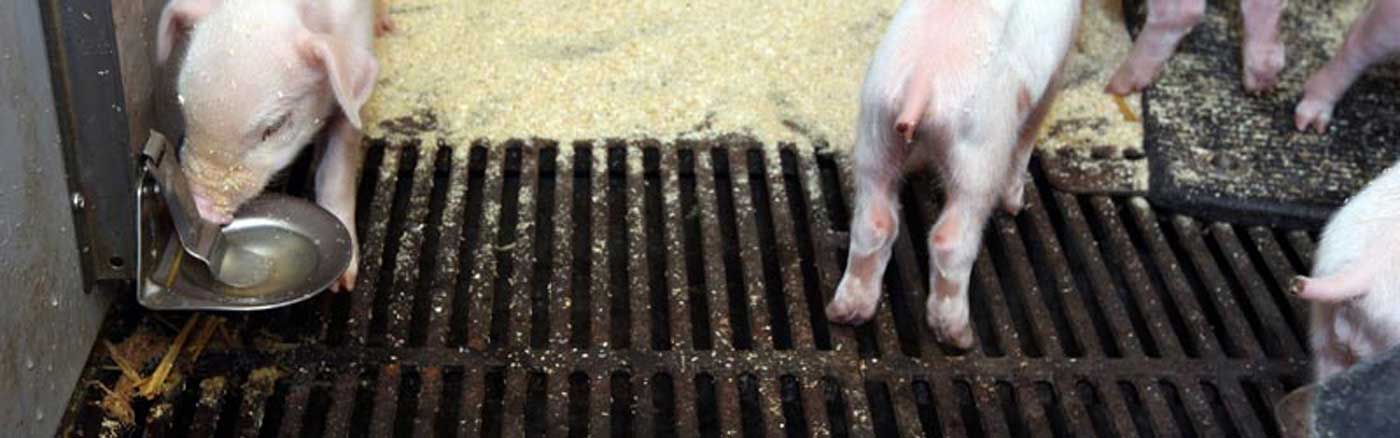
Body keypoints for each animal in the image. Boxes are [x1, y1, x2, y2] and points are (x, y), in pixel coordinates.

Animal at [155, 0, 393, 291]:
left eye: (274, 127)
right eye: (183, 108)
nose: (201, 205)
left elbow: (338, 169)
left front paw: (344, 283)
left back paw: (386, 26)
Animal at [825, 0, 1080, 348]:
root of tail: (920, 81)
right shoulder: (1056, 70)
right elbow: (1029, 134)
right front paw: (1015, 205)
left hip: (875, 133)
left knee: (873, 223)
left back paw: (845, 311)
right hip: (978, 155)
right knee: (951, 238)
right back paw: (958, 336)